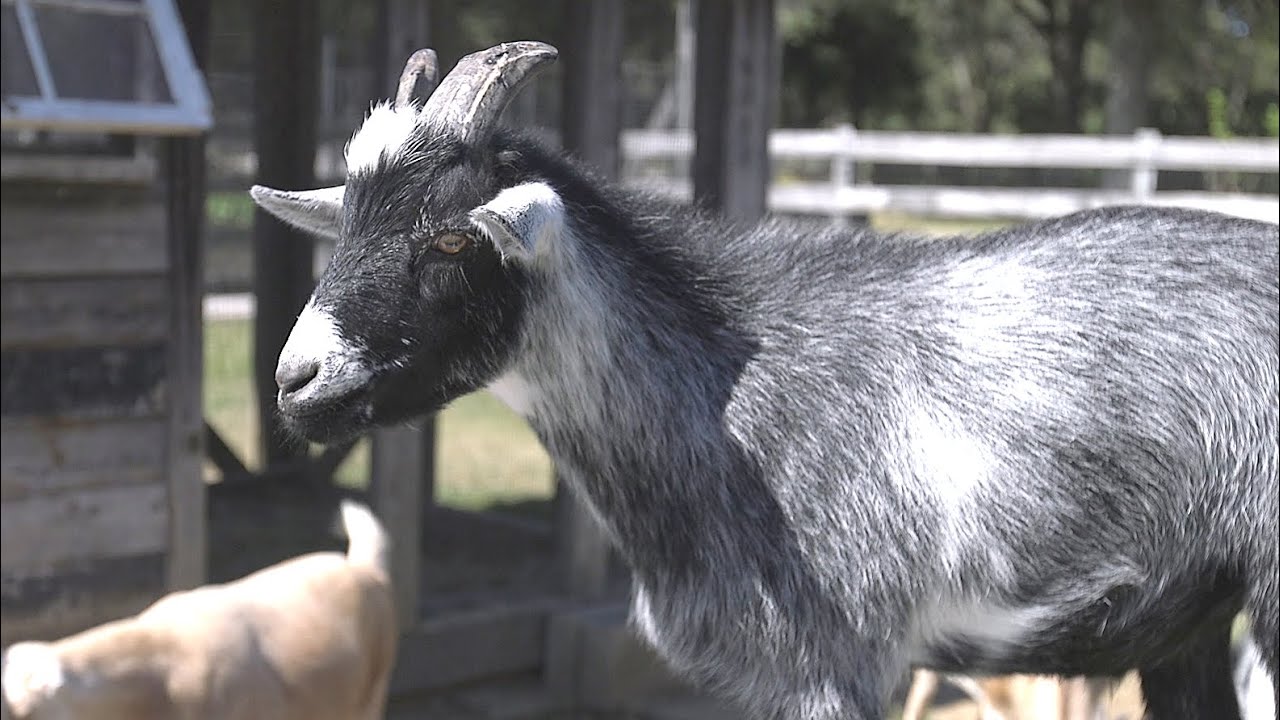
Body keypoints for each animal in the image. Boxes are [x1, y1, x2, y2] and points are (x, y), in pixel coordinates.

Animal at [250, 42, 1279, 720]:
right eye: (350, 221)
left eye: (453, 237)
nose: (297, 380)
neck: (722, 392)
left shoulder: (837, 663)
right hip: (1191, 623)